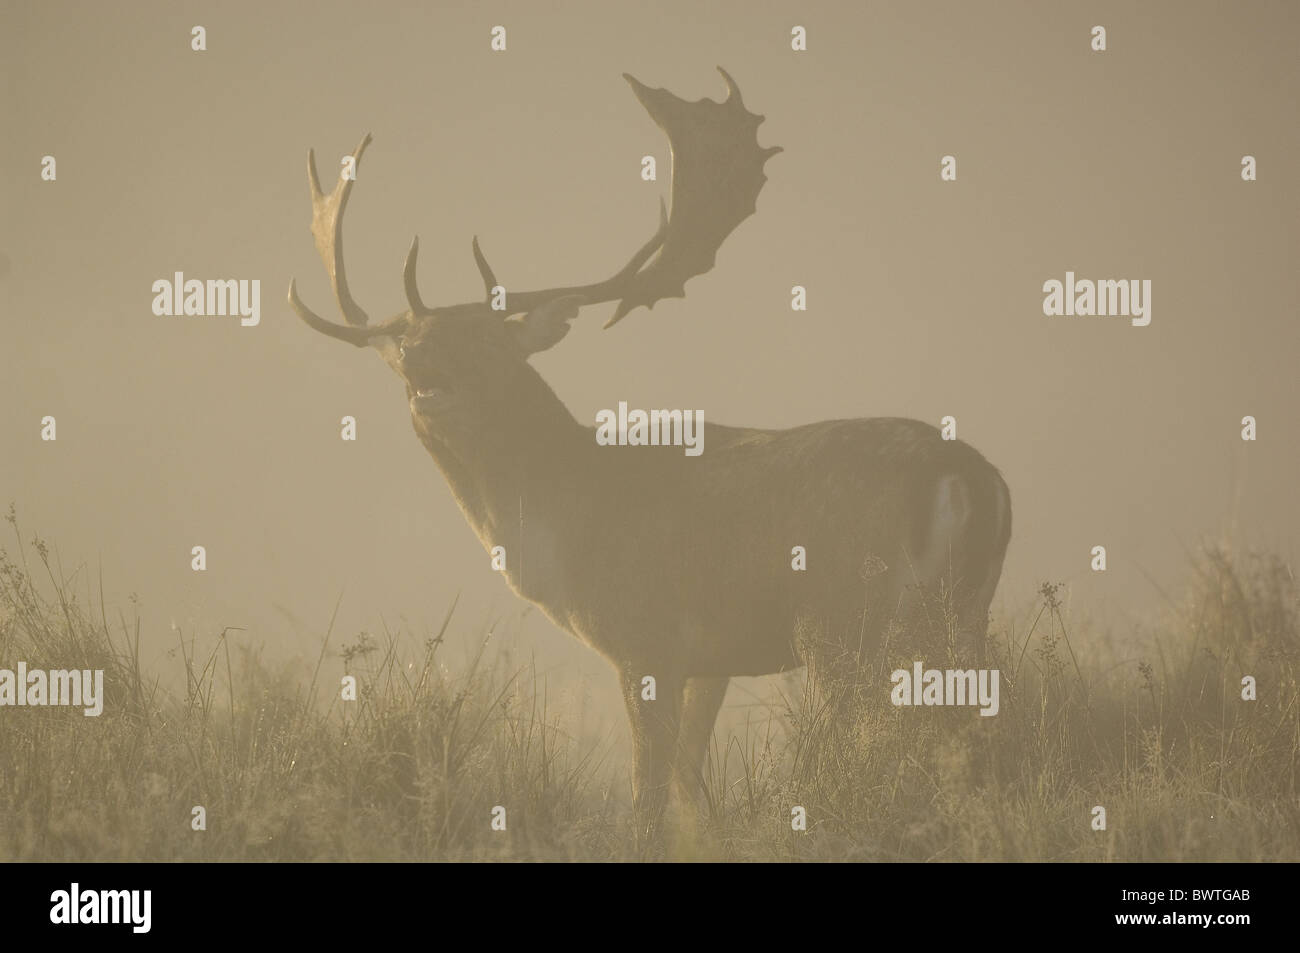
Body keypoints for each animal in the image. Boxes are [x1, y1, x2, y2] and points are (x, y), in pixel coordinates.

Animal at [287, 68, 1012, 825]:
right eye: (406, 339)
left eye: (487, 341)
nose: (421, 363)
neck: (561, 523)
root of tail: (964, 471)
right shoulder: (711, 658)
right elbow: (694, 790)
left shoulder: (645, 637)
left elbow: (648, 796)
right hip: (967, 611)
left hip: (845, 620)